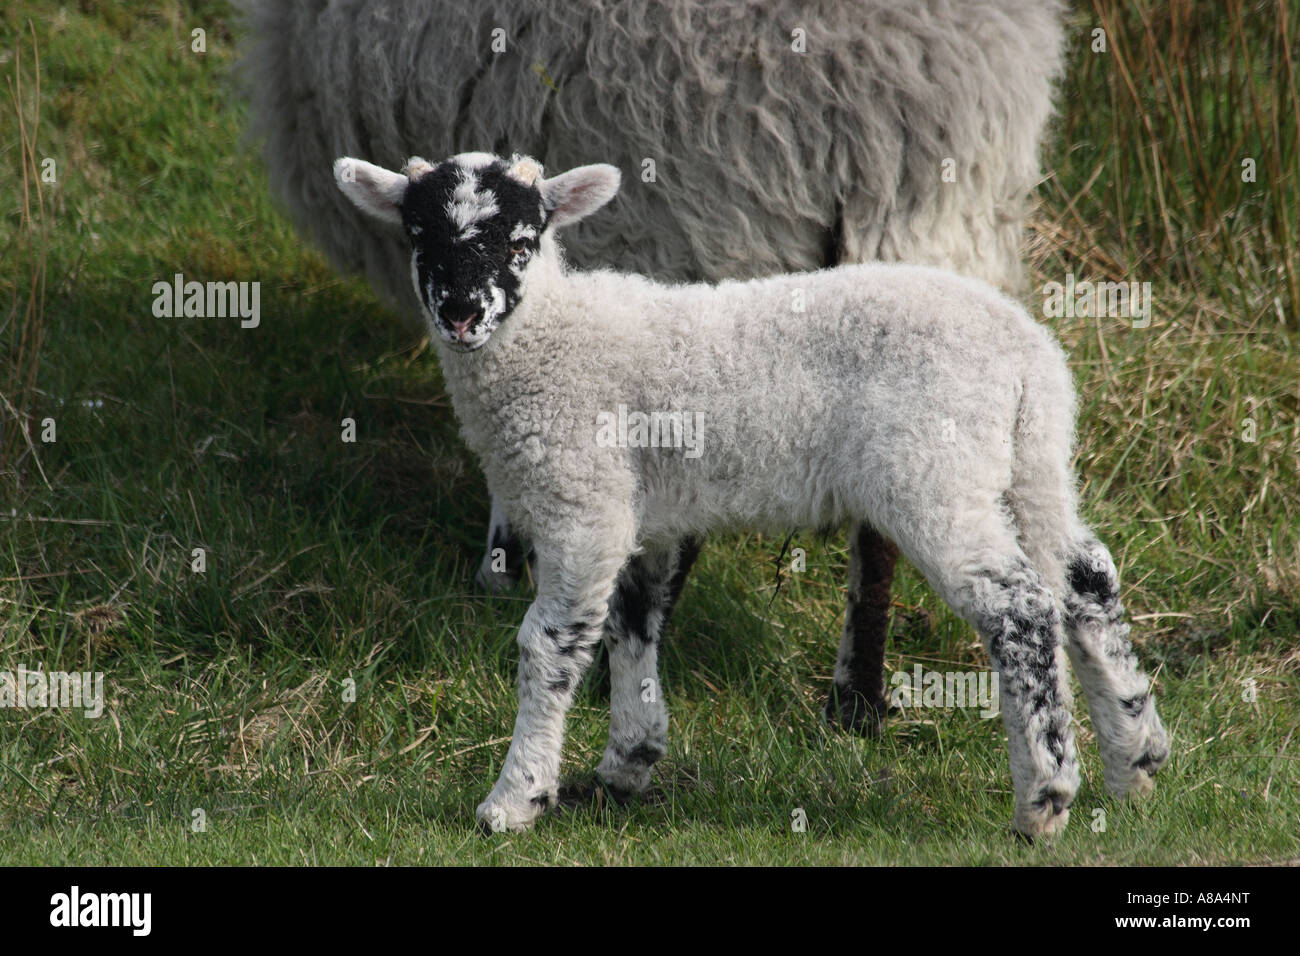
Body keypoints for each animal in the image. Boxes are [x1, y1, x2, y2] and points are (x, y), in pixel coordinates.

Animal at [236, 0, 1067, 735]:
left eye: (516, 240)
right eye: (419, 232)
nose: (463, 312)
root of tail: (898, 96)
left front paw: (503, 566)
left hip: (705, 225)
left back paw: (626, 669)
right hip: (935, 236)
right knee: (888, 513)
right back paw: (854, 702)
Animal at [332, 151, 1171, 839]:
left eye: (521, 241)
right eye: (417, 234)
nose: (461, 312)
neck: (549, 335)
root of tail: (1030, 355)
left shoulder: (584, 502)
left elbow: (550, 644)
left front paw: (516, 799)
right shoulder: (642, 512)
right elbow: (634, 625)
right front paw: (626, 765)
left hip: (938, 472)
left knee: (1020, 607)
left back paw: (1044, 800)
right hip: (1029, 464)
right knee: (1085, 577)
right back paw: (1134, 760)